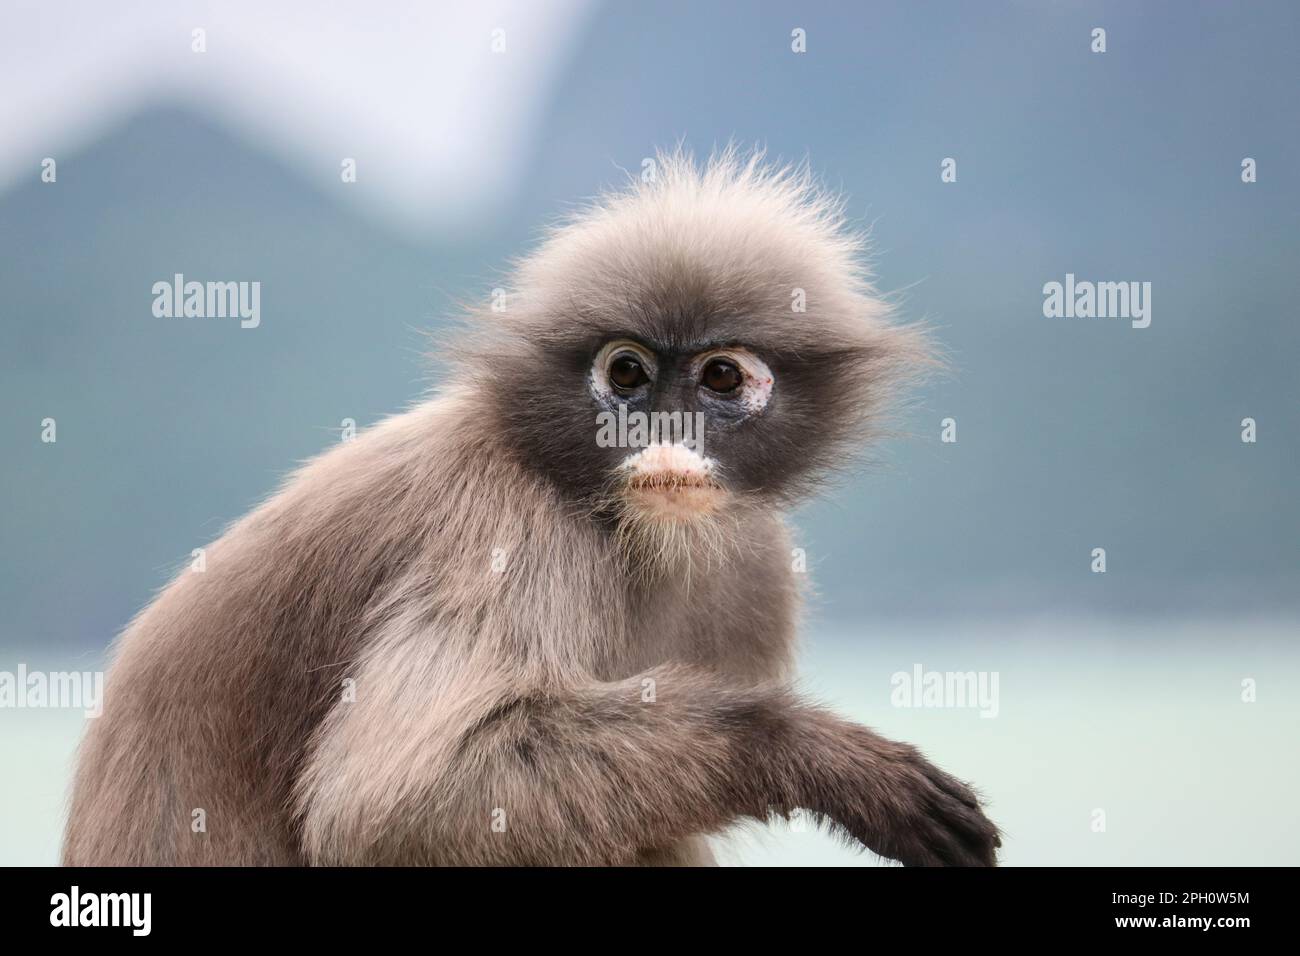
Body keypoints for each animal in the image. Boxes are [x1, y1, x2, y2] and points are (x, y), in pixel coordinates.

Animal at [63, 149, 1000, 867]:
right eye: (627, 373)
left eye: (721, 377)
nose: (665, 429)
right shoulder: (503, 521)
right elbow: (395, 805)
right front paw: (807, 751)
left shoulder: (759, 566)